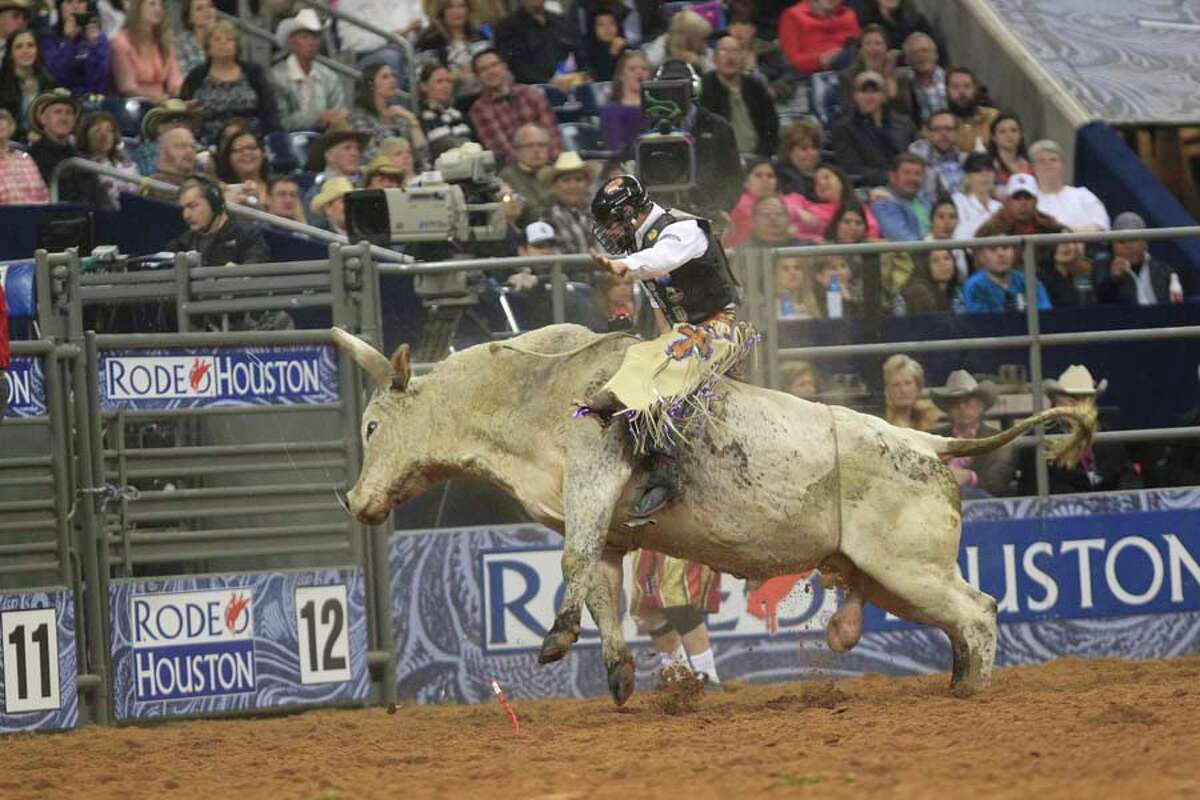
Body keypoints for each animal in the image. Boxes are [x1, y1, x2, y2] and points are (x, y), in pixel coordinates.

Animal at [332, 324, 1096, 705]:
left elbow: (573, 561)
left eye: (371, 426)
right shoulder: (610, 529)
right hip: (885, 576)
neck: (529, 390)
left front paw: (554, 641)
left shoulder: (594, 477)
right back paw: (960, 683)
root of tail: (932, 443)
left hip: (909, 567)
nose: (355, 500)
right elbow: (603, 586)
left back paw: (976, 693)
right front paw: (620, 675)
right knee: (960, 619)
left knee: (978, 610)